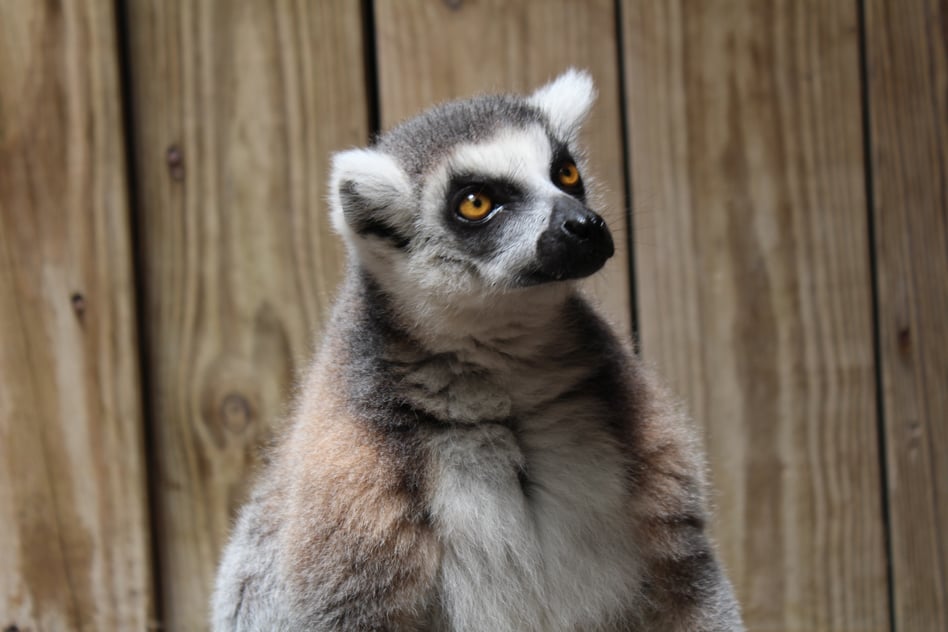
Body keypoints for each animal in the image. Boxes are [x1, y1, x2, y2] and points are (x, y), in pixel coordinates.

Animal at [211, 69, 743, 632]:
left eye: (566, 173)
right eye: (475, 203)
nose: (584, 225)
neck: (502, 378)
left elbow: (685, 579)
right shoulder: (350, 474)